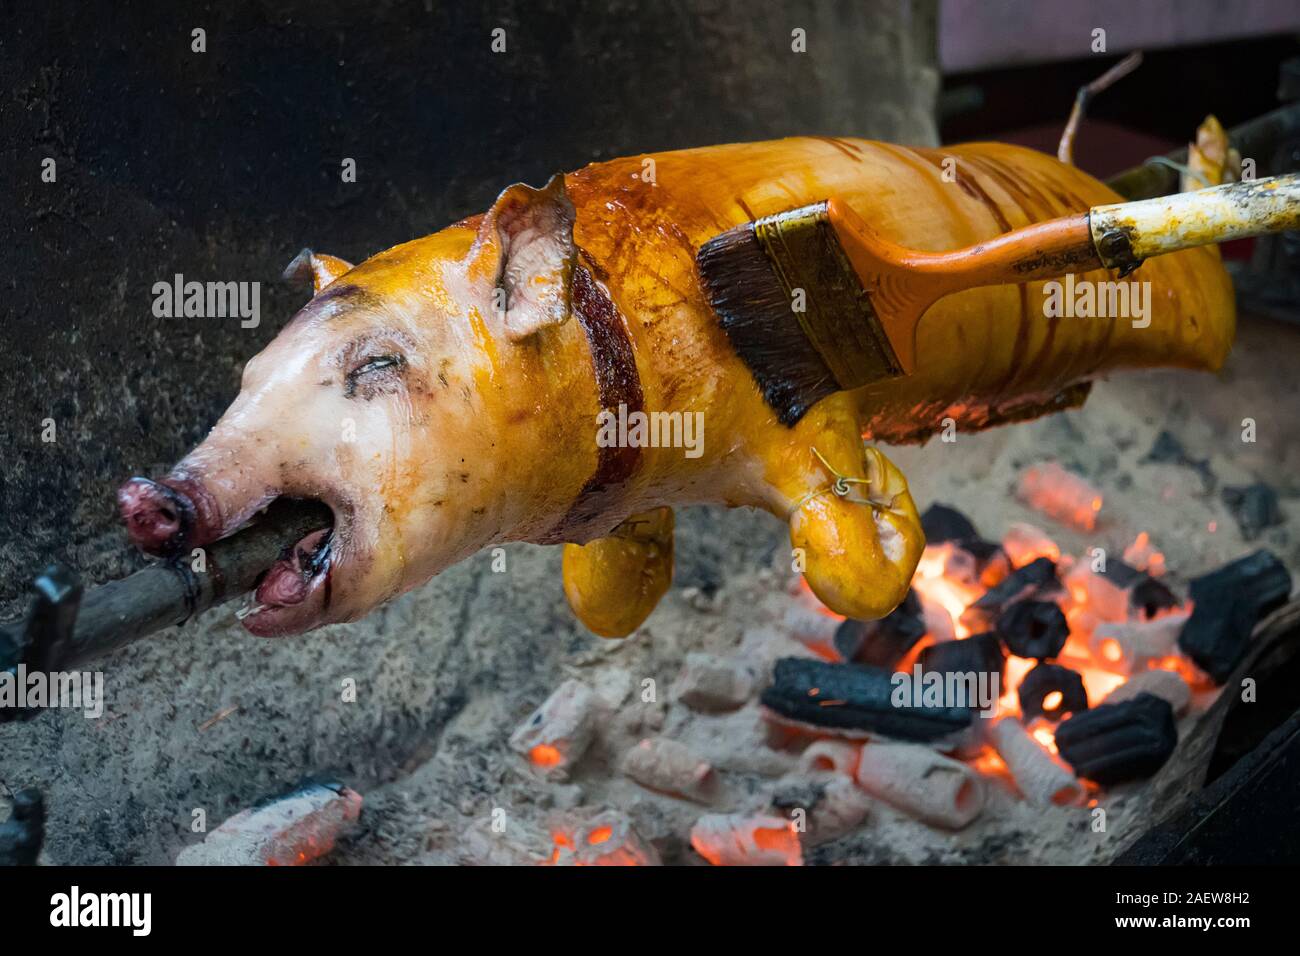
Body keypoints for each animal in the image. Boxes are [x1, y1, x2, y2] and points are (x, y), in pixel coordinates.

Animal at [118, 138, 1234, 638]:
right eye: (246, 373)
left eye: (376, 365)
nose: (152, 501)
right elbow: (611, 596)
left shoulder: (796, 410)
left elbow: (847, 546)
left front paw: (882, 514)